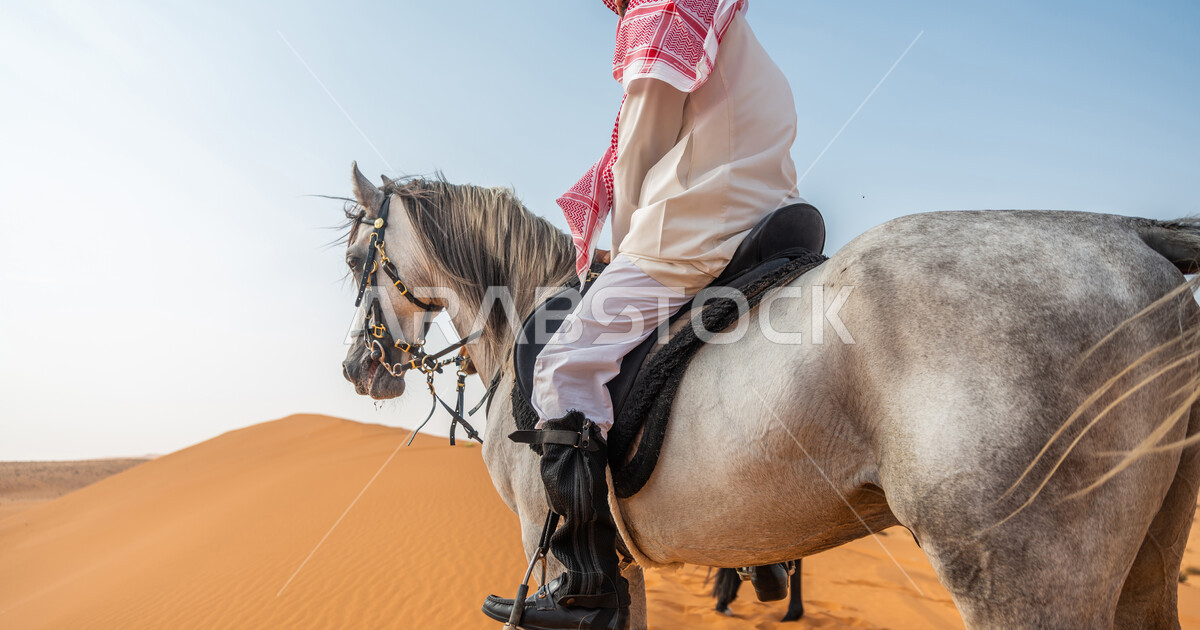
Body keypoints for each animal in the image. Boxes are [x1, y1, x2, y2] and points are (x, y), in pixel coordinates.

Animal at [339, 162, 1200, 628]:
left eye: (353, 259)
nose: (357, 368)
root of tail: (1129, 232)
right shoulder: (614, 567)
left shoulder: (542, 540)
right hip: (1145, 567)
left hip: (1023, 575)